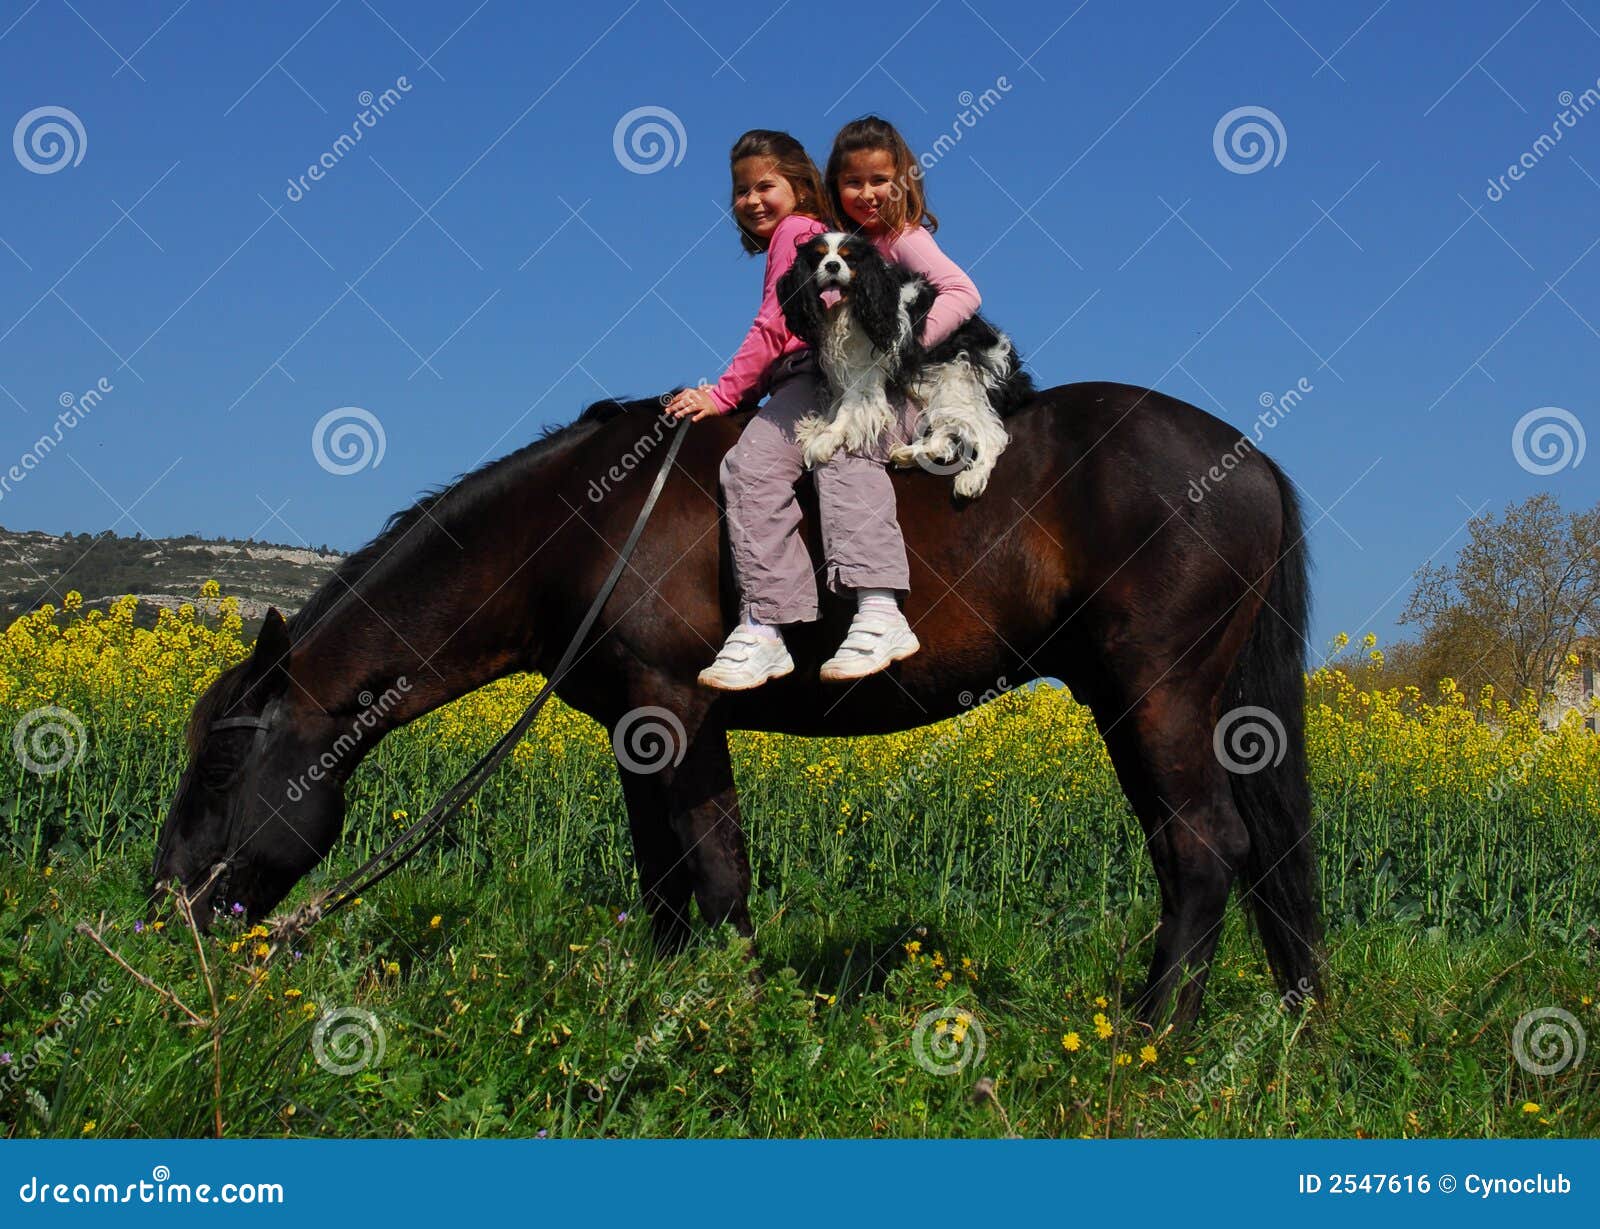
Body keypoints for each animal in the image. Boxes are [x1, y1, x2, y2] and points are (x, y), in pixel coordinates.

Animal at [149, 380, 1321, 1026]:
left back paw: (1152, 1035)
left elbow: (716, 875)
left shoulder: (679, 711)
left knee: (1202, 849)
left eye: (222, 762)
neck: (587, 519)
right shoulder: (638, 728)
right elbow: (667, 884)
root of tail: (1251, 459)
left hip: (1152, 694)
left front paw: (727, 1015)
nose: (168, 912)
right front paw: (661, 1005)